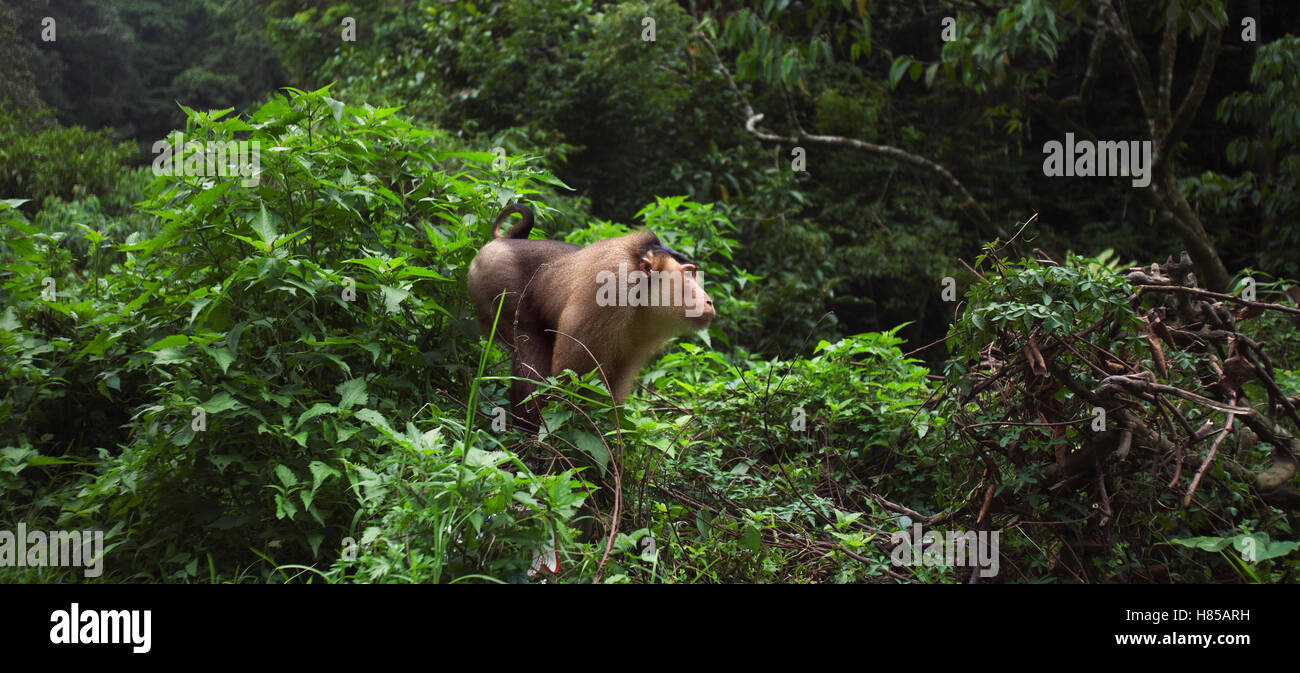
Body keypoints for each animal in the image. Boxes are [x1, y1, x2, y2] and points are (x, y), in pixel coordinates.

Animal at [467, 204, 715, 432]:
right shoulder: (610, 287)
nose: (709, 301)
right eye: (688, 274)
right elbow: (571, 378)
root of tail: (506, 241)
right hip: (497, 283)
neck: (640, 292)